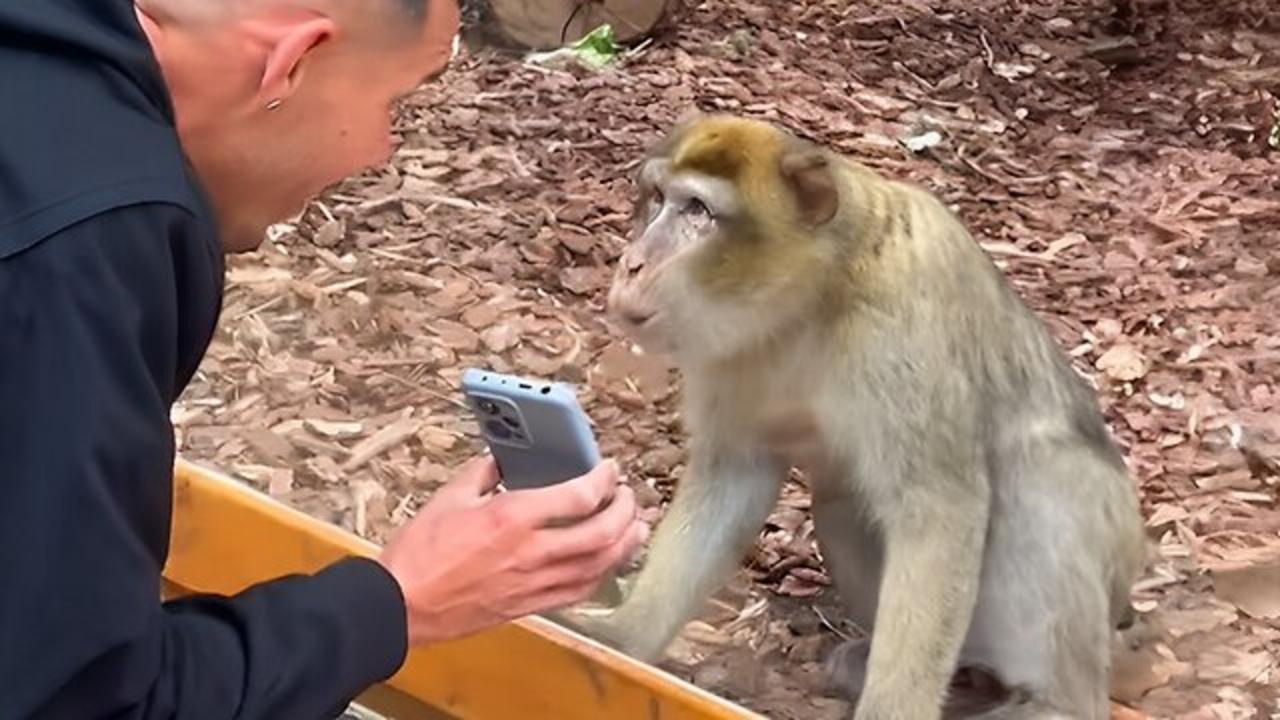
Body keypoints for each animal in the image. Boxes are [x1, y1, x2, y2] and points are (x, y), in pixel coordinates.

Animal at [556, 113, 1148, 720]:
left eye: (697, 211)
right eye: (655, 199)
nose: (632, 262)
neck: (813, 296)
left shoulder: (899, 331)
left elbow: (939, 511)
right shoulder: (726, 355)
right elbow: (733, 476)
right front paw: (624, 635)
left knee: (1047, 488)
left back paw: (1053, 704)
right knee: (840, 502)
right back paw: (960, 682)